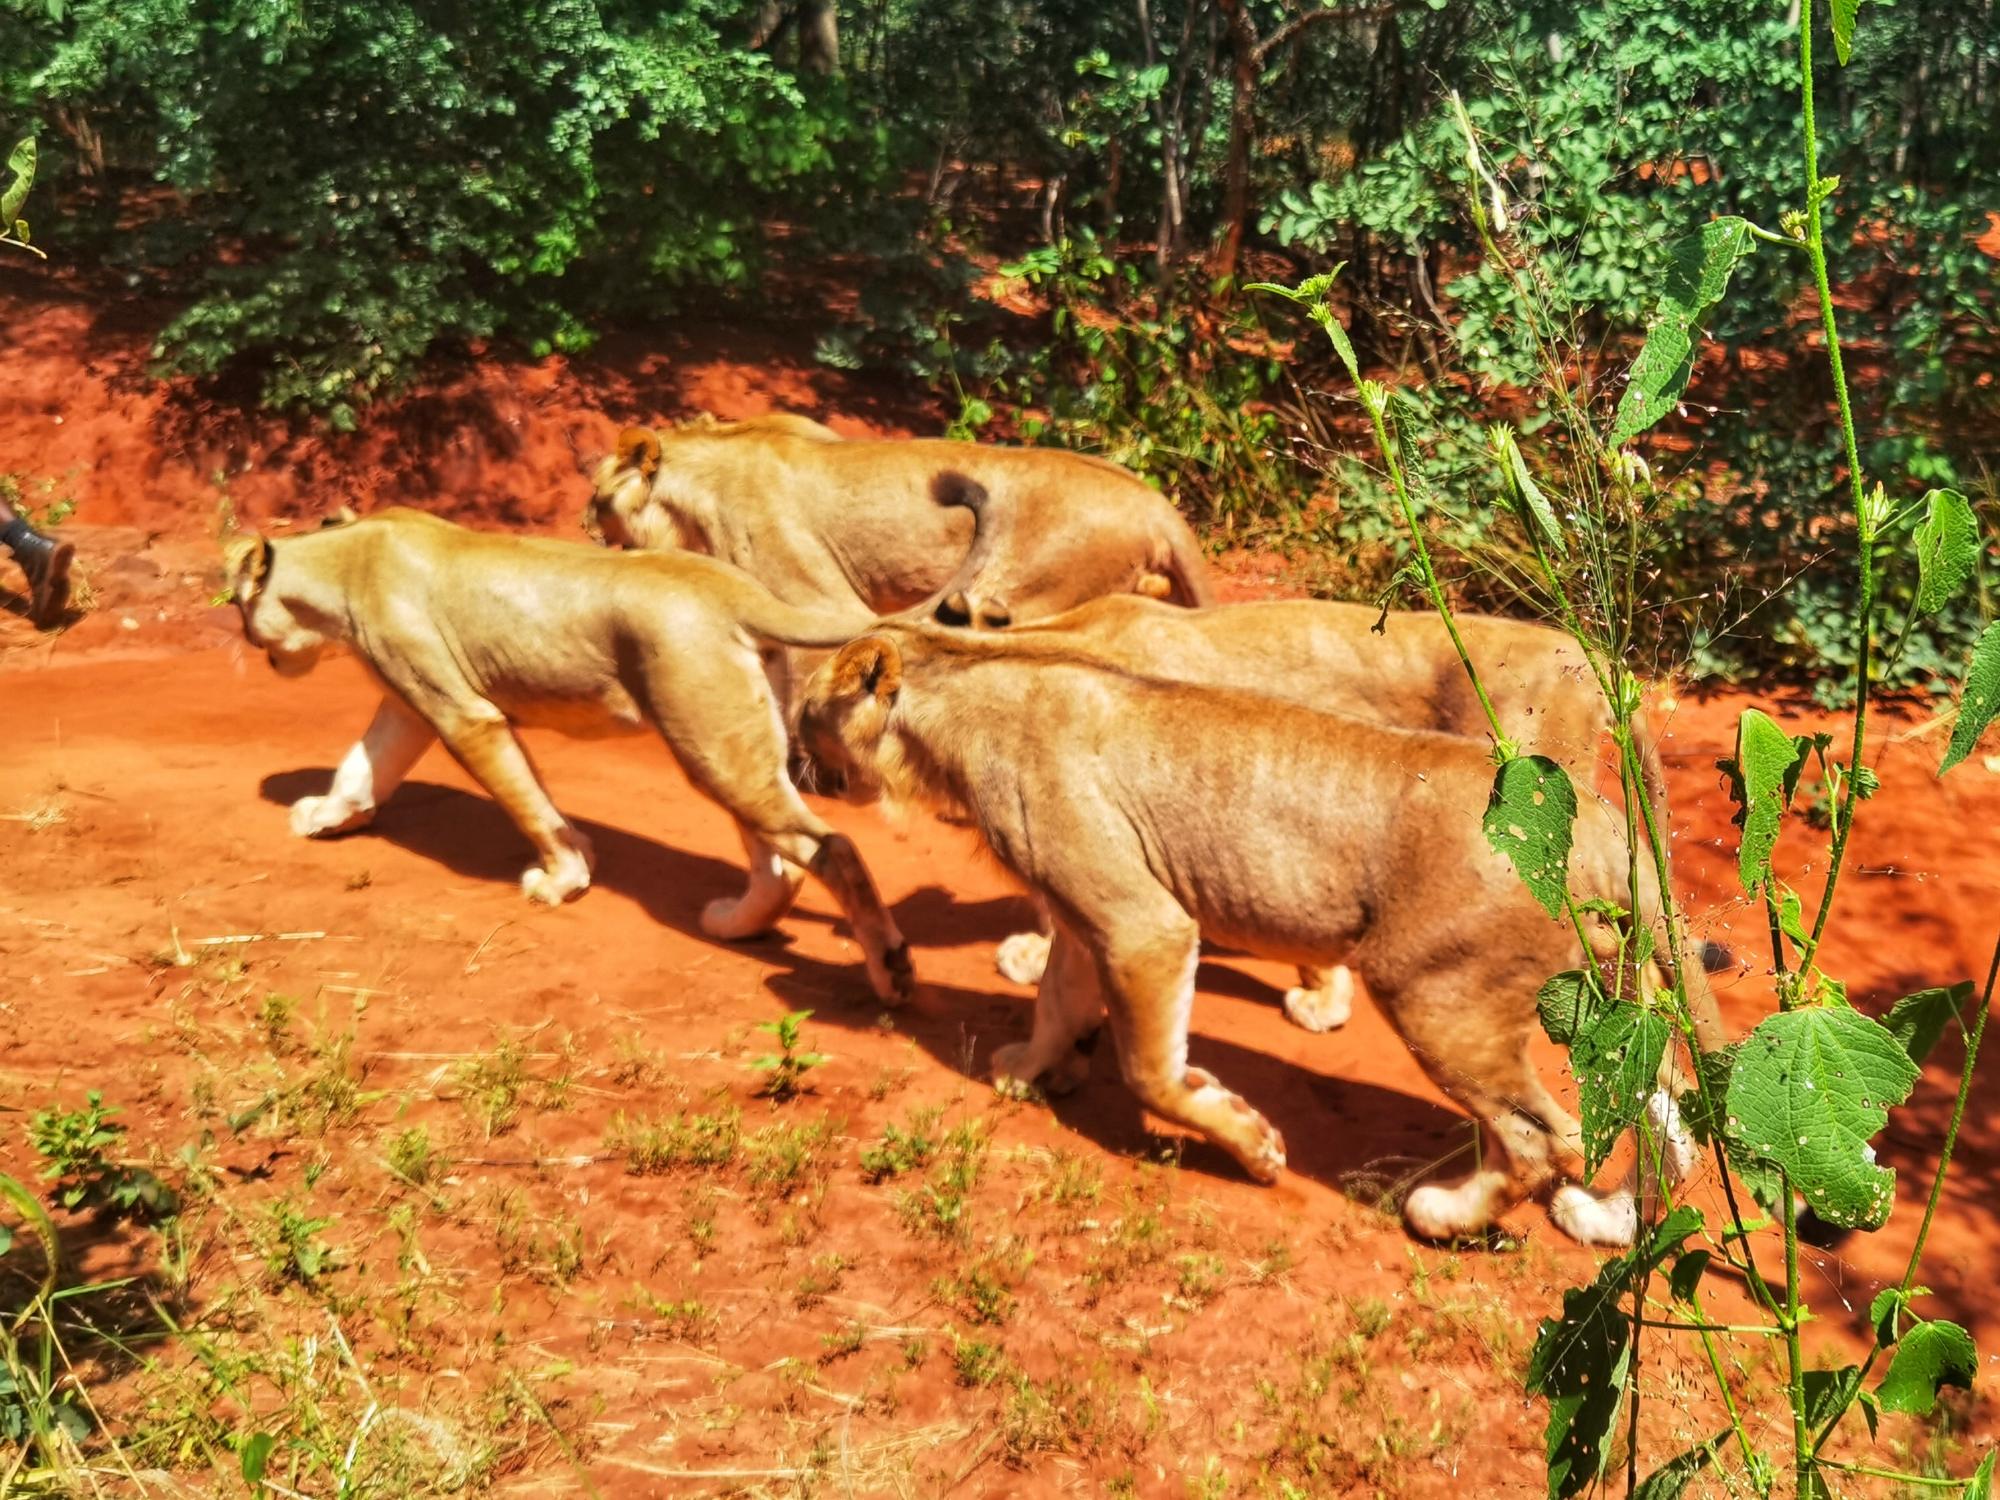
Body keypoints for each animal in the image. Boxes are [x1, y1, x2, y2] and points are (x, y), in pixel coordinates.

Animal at [223, 508, 912, 1012]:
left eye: (240, 612)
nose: (256, 652)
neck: (345, 561)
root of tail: (732, 587)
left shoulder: (464, 713)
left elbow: (526, 803)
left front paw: (562, 878)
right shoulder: (411, 704)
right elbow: (363, 766)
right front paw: (325, 816)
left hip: (709, 740)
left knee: (832, 849)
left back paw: (892, 975)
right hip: (727, 743)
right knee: (783, 863)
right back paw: (734, 923)